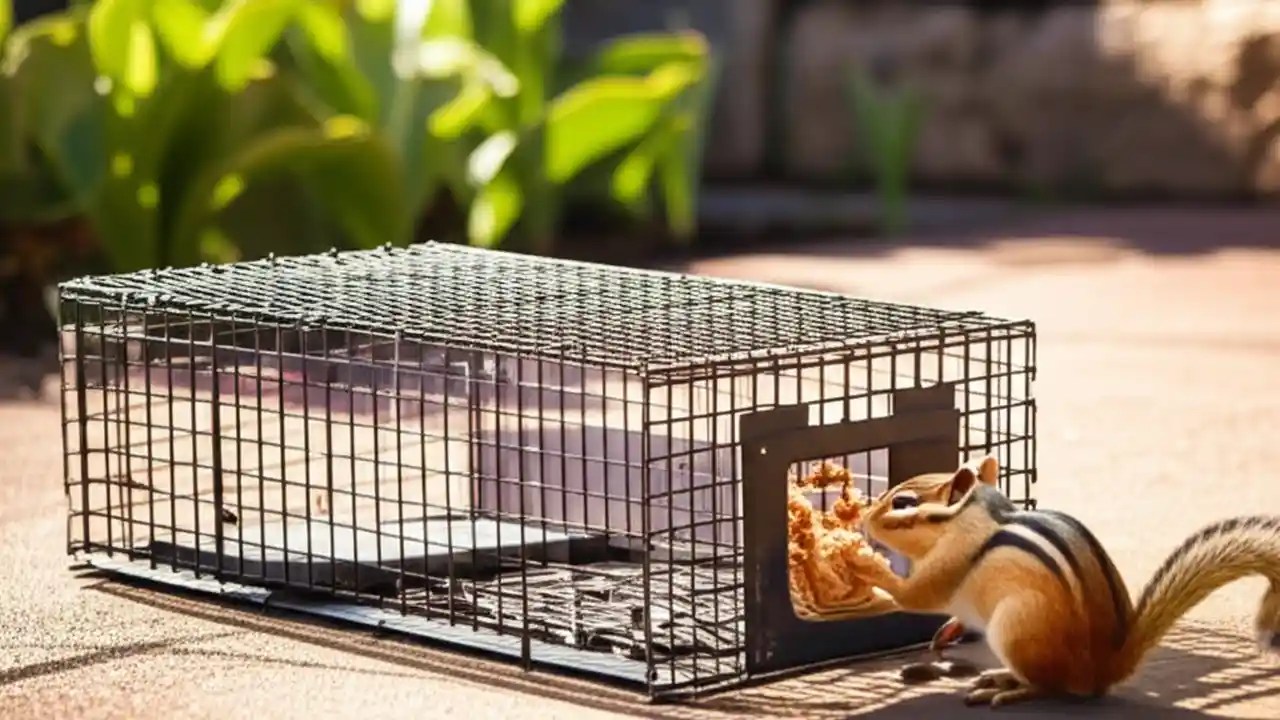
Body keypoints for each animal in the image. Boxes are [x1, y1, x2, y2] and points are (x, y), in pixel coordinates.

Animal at [817, 454, 1280, 708]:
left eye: (902, 503)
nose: (864, 519)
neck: (967, 518)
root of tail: (1105, 667)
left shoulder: (951, 561)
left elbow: (916, 594)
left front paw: (861, 564)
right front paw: (948, 629)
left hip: (1017, 627)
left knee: (1051, 687)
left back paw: (1010, 689)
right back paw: (1001, 678)